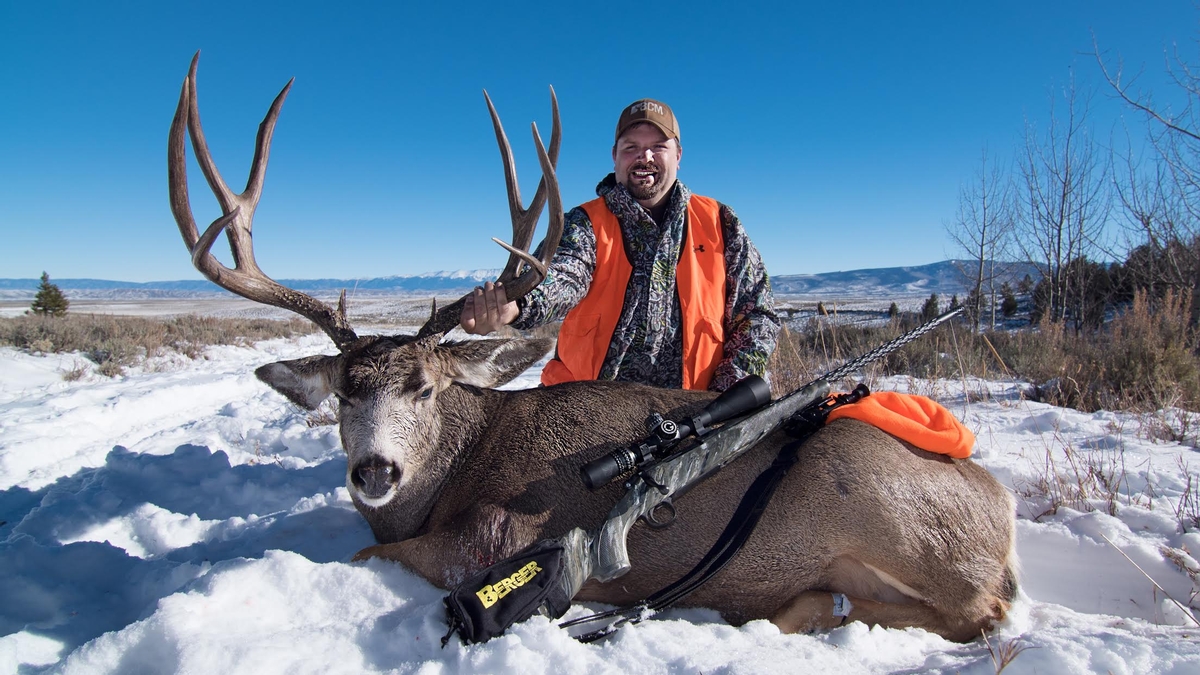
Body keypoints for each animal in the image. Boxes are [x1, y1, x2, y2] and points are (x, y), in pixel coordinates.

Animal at [167, 53, 1018, 643]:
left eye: (424, 388)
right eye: (346, 389)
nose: (374, 470)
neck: (454, 470)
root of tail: (1002, 505)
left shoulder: (493, 538)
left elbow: (360, 560)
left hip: (882, 511)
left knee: (982, 612)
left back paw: (802, 606)